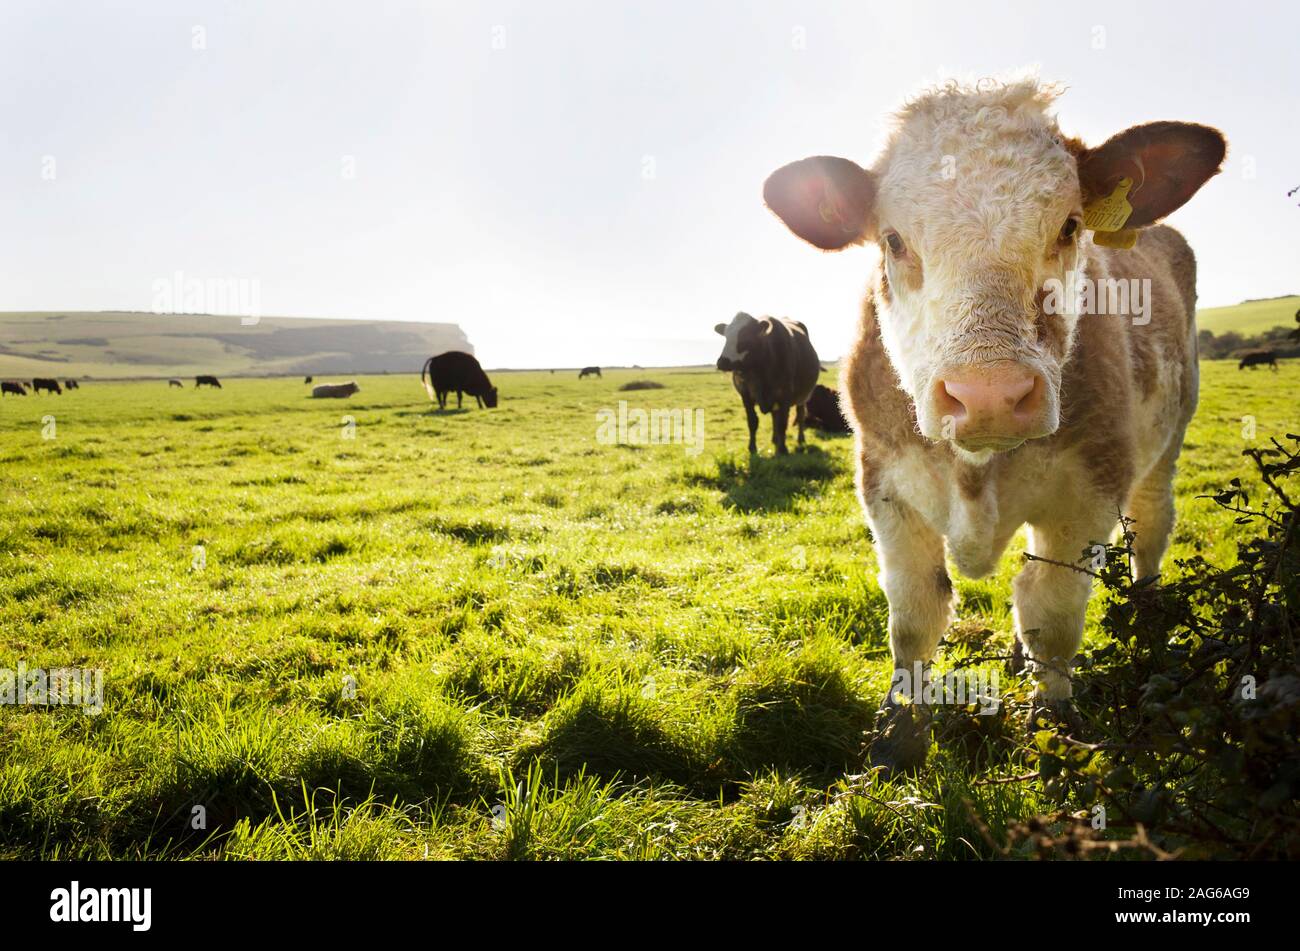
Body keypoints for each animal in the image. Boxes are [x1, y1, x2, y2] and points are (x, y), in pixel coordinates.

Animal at [714, 312, 820, 454]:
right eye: (726, 337)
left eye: (745, 337)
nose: (722, 362)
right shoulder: (745, 395)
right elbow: (753, 422)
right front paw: (752, 448)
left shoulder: (785, 395)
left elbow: (782, 423)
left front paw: (783, 450)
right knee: (775, 416)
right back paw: (775, 439)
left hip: (803, 397)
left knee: (800, 415)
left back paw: (800, 440)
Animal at [762, 77, 1225, 773]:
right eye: (892, 239)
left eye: (1070, 226)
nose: (989, 397)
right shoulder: (886, 488)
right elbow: (915, 614)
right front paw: (898, 735)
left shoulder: (1087, 497)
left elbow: (1053, 616)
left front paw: (1056, 724)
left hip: (1165, 447)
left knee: (1149, 531)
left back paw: (1147, 630)